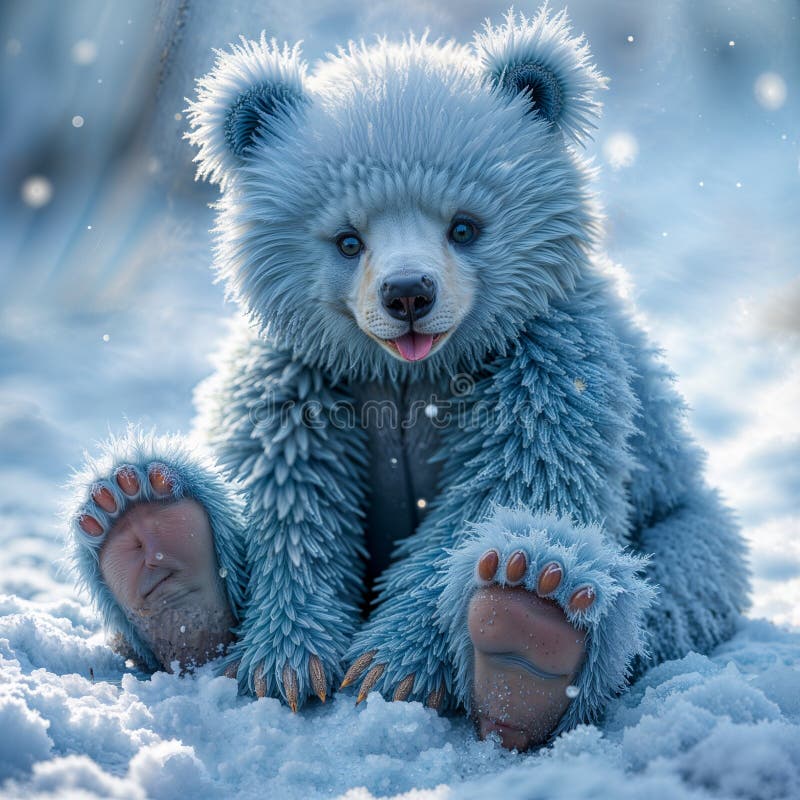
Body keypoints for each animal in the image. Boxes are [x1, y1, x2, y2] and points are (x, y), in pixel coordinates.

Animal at [66, 6, 749, 750]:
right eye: (348, 239)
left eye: (464, 226)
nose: (409, 293)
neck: (407, 374)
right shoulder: (303, 370)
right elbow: (290, 486)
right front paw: (286, 662)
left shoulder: (547, 359)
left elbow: (509, 481)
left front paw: (389, 667)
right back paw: (142, 523)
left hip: (678, 509)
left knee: (675, 583)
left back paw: (534, 620)